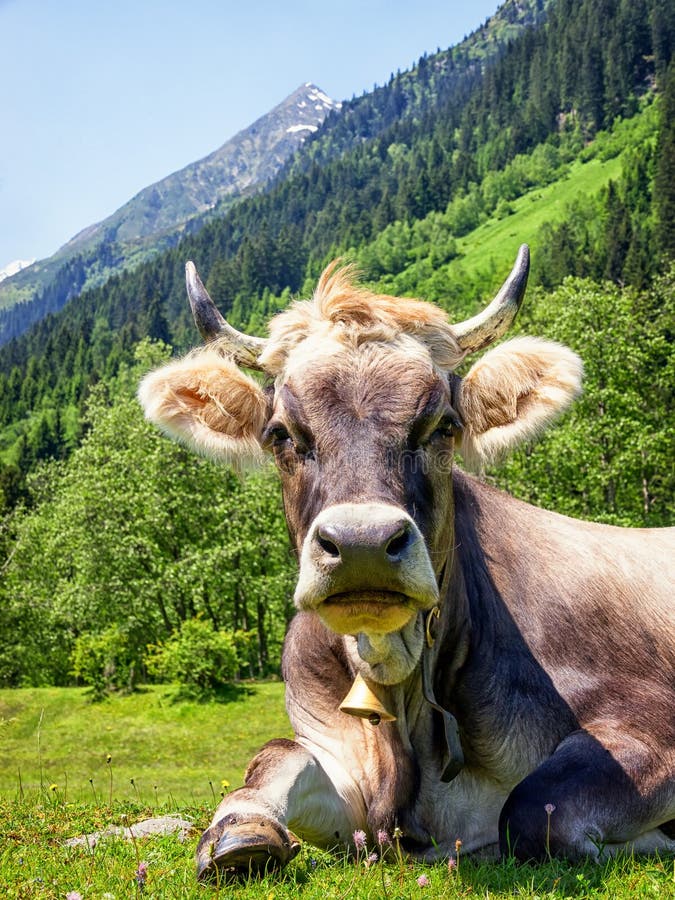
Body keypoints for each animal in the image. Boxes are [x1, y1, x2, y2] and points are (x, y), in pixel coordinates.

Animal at [138, 247, 675, 880]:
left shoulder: (648, 718)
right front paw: (241, 826)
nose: (363, 544)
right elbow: (277, 757)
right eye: (281, 435)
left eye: (444, 426)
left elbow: (535, 809)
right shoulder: (341, 761)